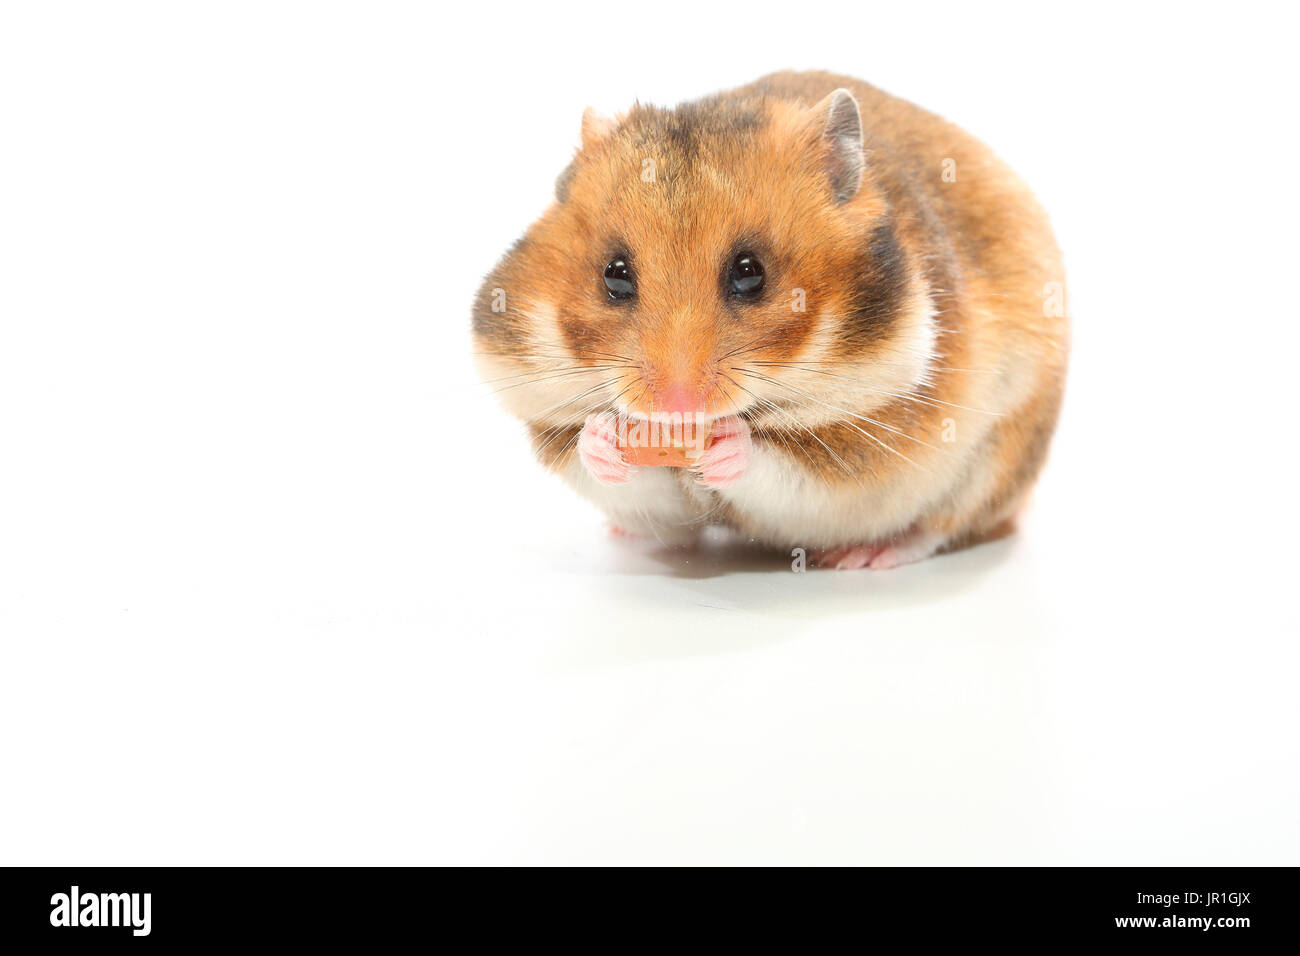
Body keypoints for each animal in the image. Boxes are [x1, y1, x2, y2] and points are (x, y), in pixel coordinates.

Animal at [472, 71, 1067, 569]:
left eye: (750, 273)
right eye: (614, 275)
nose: (677, 407)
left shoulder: (862, 449)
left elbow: (778, 462)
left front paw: (727, 443)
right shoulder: (561, 428)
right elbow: (606, 465)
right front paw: (604, 437)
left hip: (1002, 453)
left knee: (945, 524)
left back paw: (867, 557)